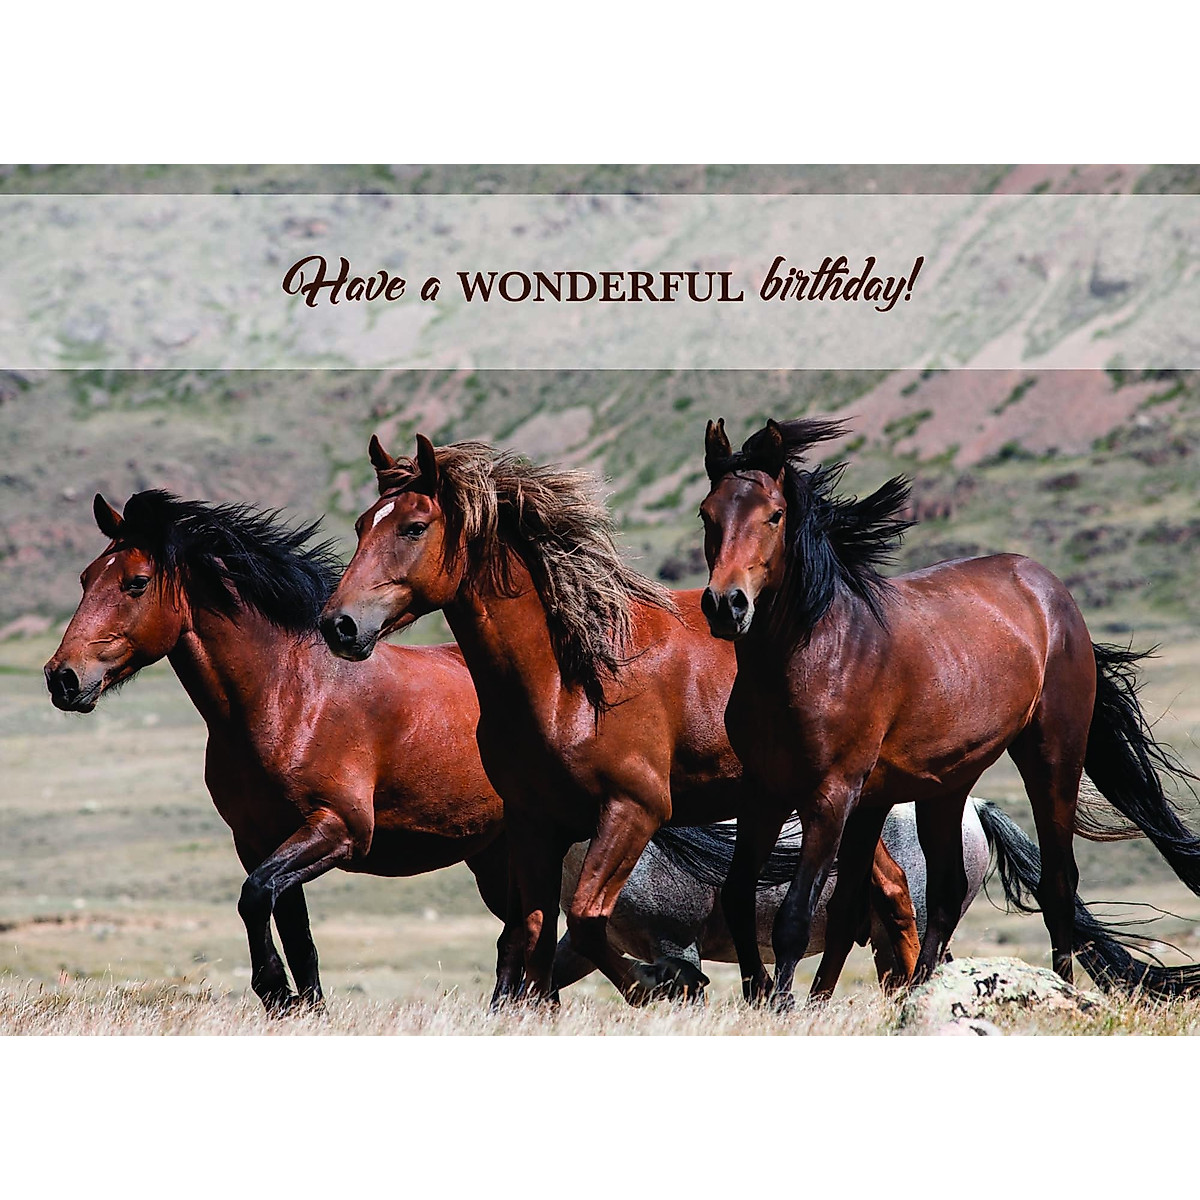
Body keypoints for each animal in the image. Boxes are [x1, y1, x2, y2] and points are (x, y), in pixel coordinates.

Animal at [44, 490, 515, 1014]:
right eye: (86, 578)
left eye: (137, 583)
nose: (62, 678)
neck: (290, 697)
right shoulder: (259, 840)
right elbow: (293, 931)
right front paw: (303, 1004)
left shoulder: (338, 828)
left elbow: (254, 898)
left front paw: (274, 988)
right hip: (493, 853)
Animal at [318, 434, 926, 1005]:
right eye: (361, 526)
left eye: (414, 528)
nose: (338, 625)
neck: (571, 682)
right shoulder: (534, 823)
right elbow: (533, 932)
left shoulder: (634, 810)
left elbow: (587, 921)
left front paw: (666, 981)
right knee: (883, 890)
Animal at [698, 415, 1200, 1006]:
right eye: (707, 513)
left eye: (774, 515)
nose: (726, 605)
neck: (815, 651)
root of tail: (1052, 592)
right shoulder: (766, 793)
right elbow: (744, 897)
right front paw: (767, 995)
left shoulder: (829, 796)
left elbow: (795, 918)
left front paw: (782, 1005)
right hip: (943, 786)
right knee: (941, 892)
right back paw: (923, 988)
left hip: (1052, 759)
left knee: (1057, 884)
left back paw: (1058, 987)